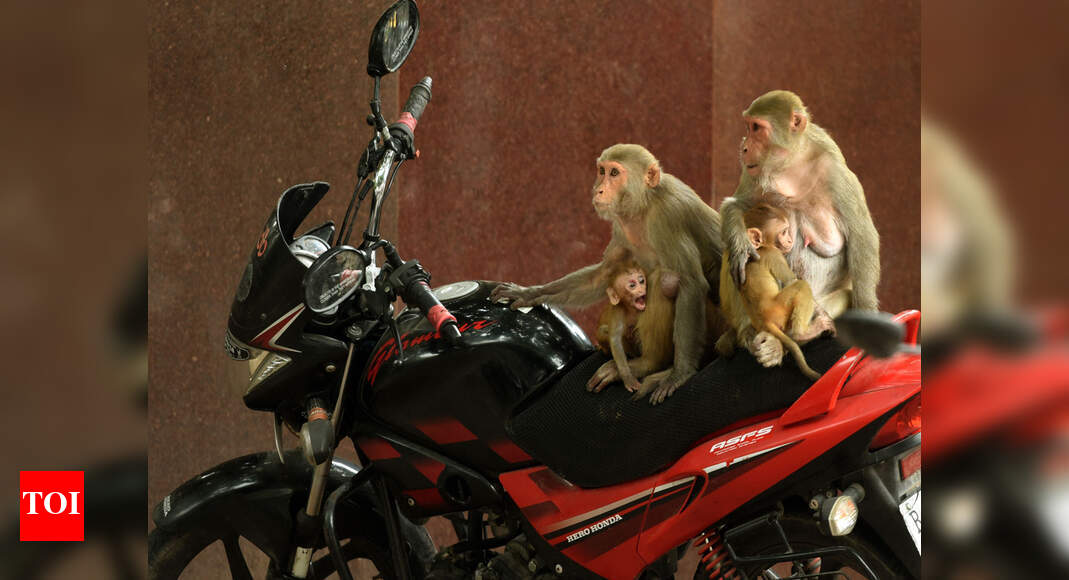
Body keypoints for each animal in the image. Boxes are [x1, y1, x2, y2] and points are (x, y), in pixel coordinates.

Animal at [492, 144, 723, 404]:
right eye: (602, 171)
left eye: (614, 173)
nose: (599, 189)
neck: (644, 204)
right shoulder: (620, 225)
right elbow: (602, 276)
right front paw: (529, 293)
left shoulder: (667, 216)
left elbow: (691, 284)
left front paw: (680, 373)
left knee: (666, 280)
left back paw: (647, 364)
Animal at [717, 204, 833, 380]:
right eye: (784, 231)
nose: (790, 240)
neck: (762, 247)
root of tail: (765, 321)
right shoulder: (774, 254)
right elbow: (791, 281)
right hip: (779, 309)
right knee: (801, 286)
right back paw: (802, 333)